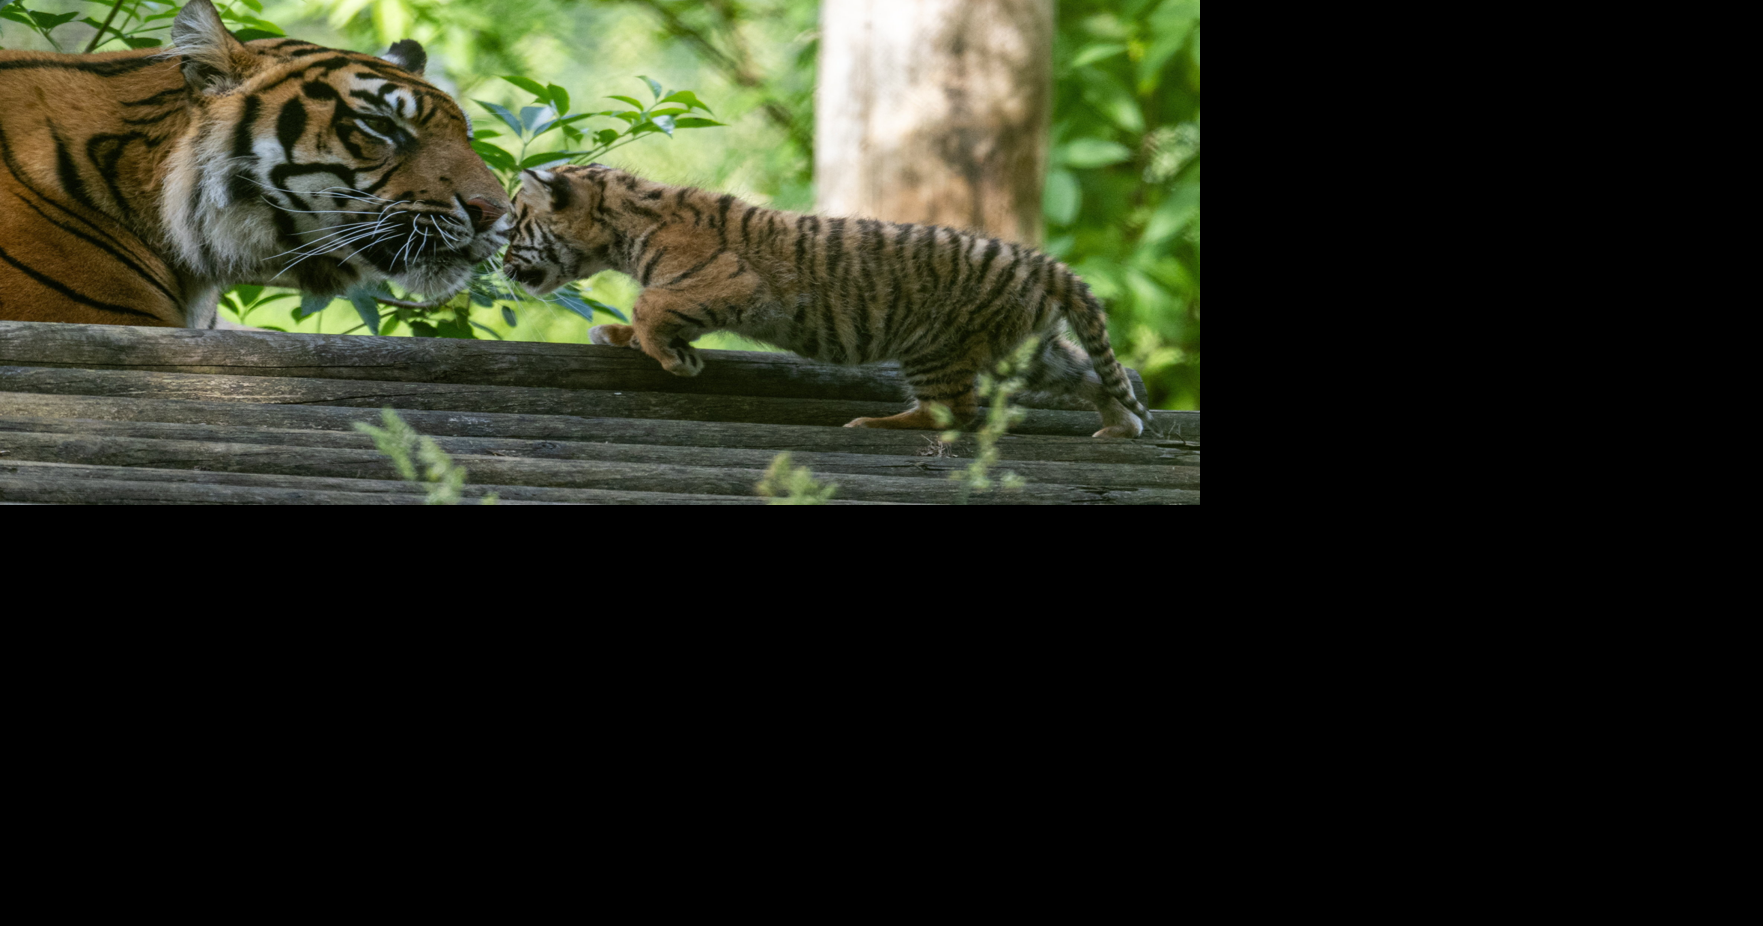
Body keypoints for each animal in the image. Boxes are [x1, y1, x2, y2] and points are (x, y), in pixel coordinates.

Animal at [502, 164, 1152, 438]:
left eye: (516, 224)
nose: (502, 264)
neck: (622, 228)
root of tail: (1037, 262)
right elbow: (654, 311)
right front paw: (625, 339)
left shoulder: (734, 284)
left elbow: (651, 305)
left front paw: (671, 357)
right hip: (1031, 349)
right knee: (1091, 376)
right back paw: (1119, 428)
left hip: (934, 347)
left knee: (953, 413)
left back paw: (875, 422)